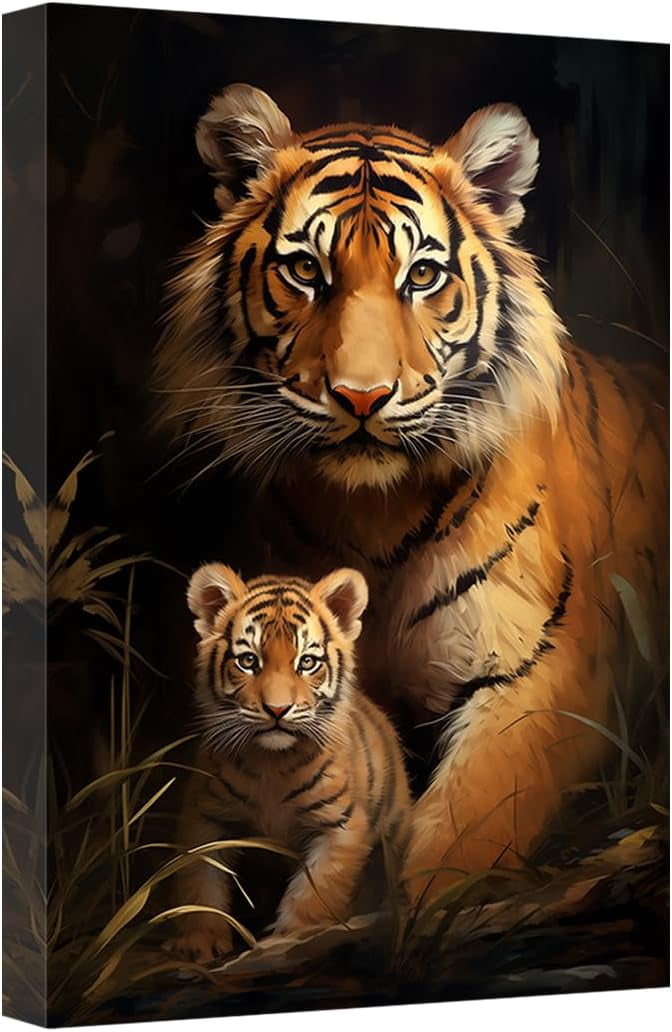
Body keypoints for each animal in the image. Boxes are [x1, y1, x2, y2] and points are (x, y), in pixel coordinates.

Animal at [154, 84, 668, 903]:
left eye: (422, 276)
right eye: (307, 270)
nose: (362, 397)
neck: (374, 517)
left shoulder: (539, 674)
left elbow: (460, 834)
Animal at [164, 563, 411, 962]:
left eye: (307, 662)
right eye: (248, 661)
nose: (277, 710)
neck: (272, 763)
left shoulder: (339, 826)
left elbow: (316, 893)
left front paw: (293, 941)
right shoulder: (206, 816)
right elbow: (200, 880)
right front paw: (198, 942)